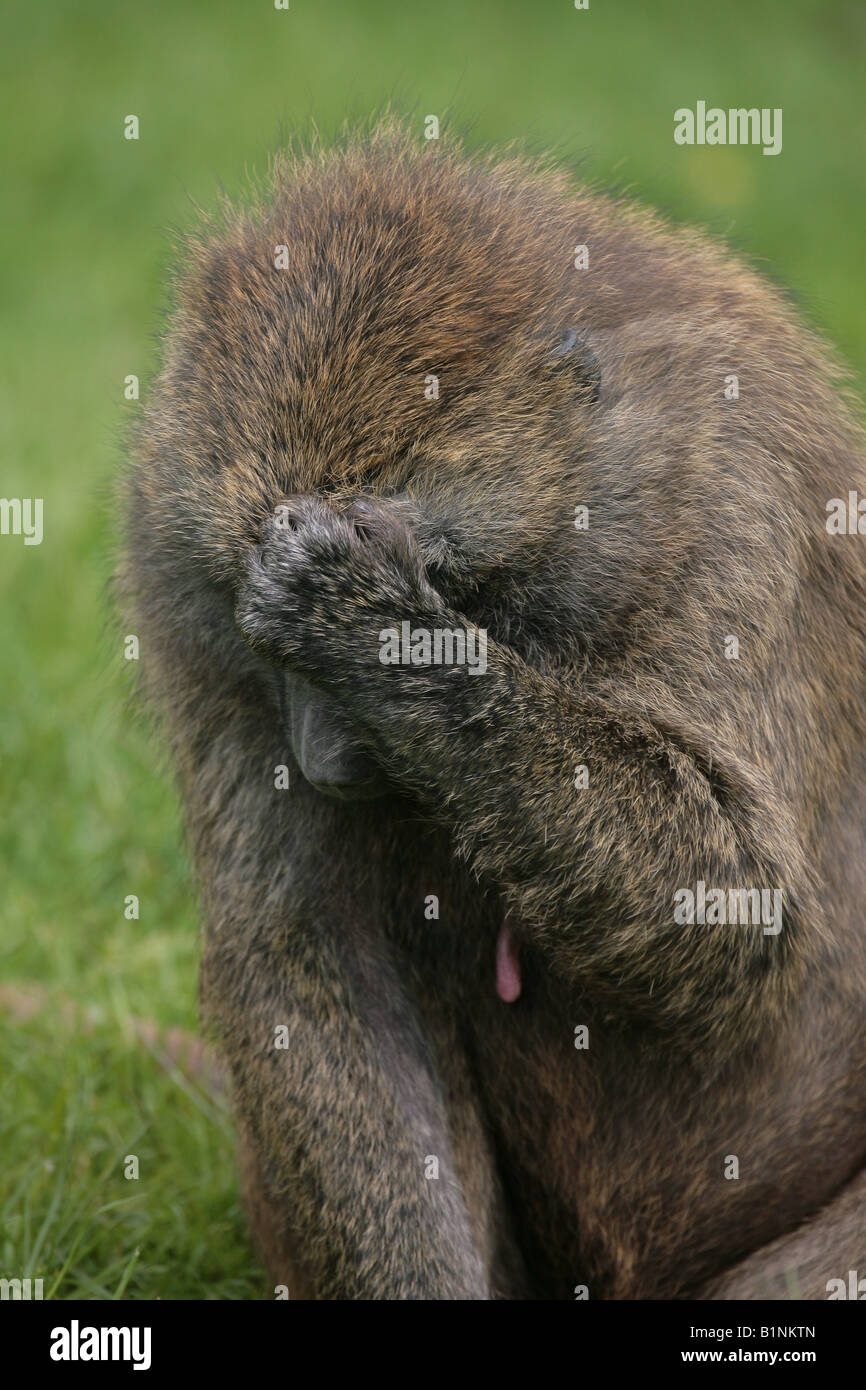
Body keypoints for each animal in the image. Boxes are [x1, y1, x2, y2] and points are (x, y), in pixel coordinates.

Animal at [118, 120, 866, 1300]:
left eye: (442, 587)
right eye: (252, 622)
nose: (324, 758)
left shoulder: (732, 496)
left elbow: (736, 906)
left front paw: (363, 622)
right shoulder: (173, 567)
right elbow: (310, 947)